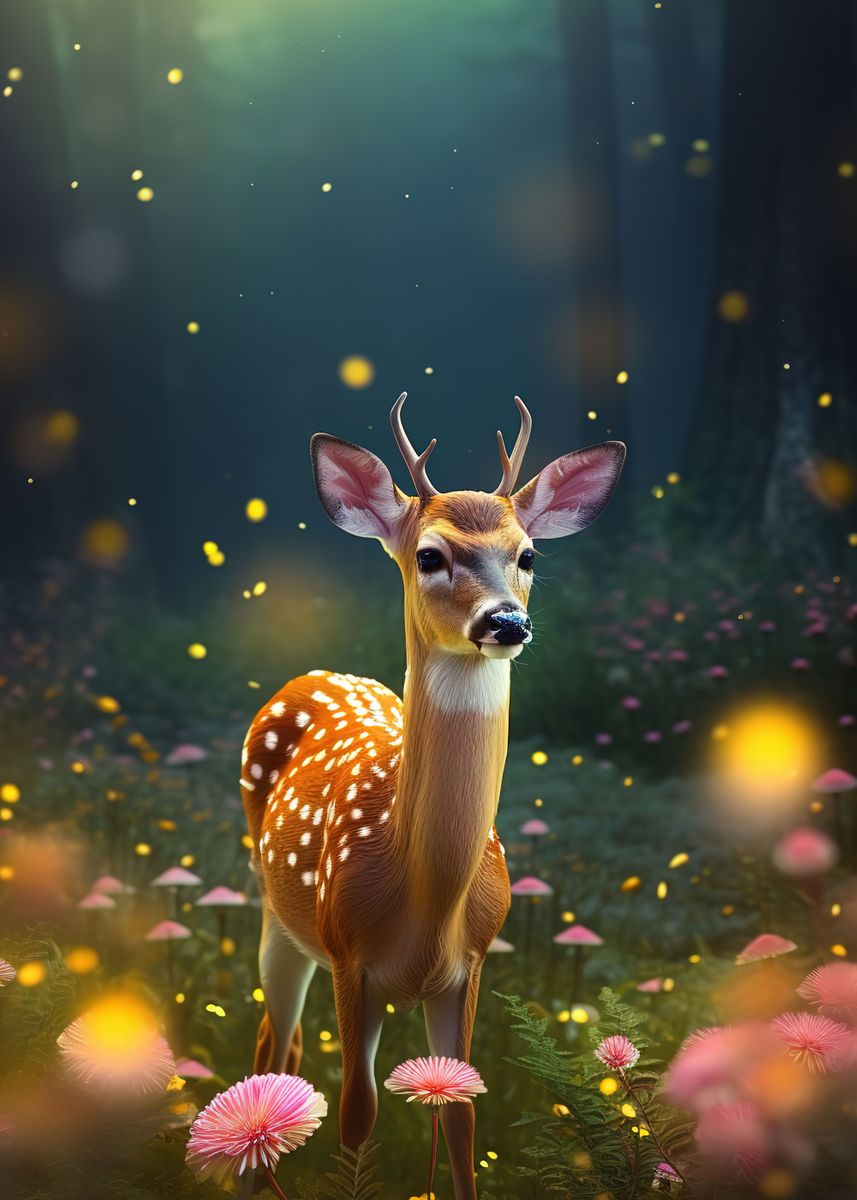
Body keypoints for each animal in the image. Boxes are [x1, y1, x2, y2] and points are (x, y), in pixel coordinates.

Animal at [241, 393, 625, 1198]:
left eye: (528, 555)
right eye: (429, 555)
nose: (506, 621)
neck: (422, 890)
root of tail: (314, 673)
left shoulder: (470, 964)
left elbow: (462, 1114)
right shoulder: (347, 953)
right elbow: (357, 1112)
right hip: (278, 913)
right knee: (273, 1043)